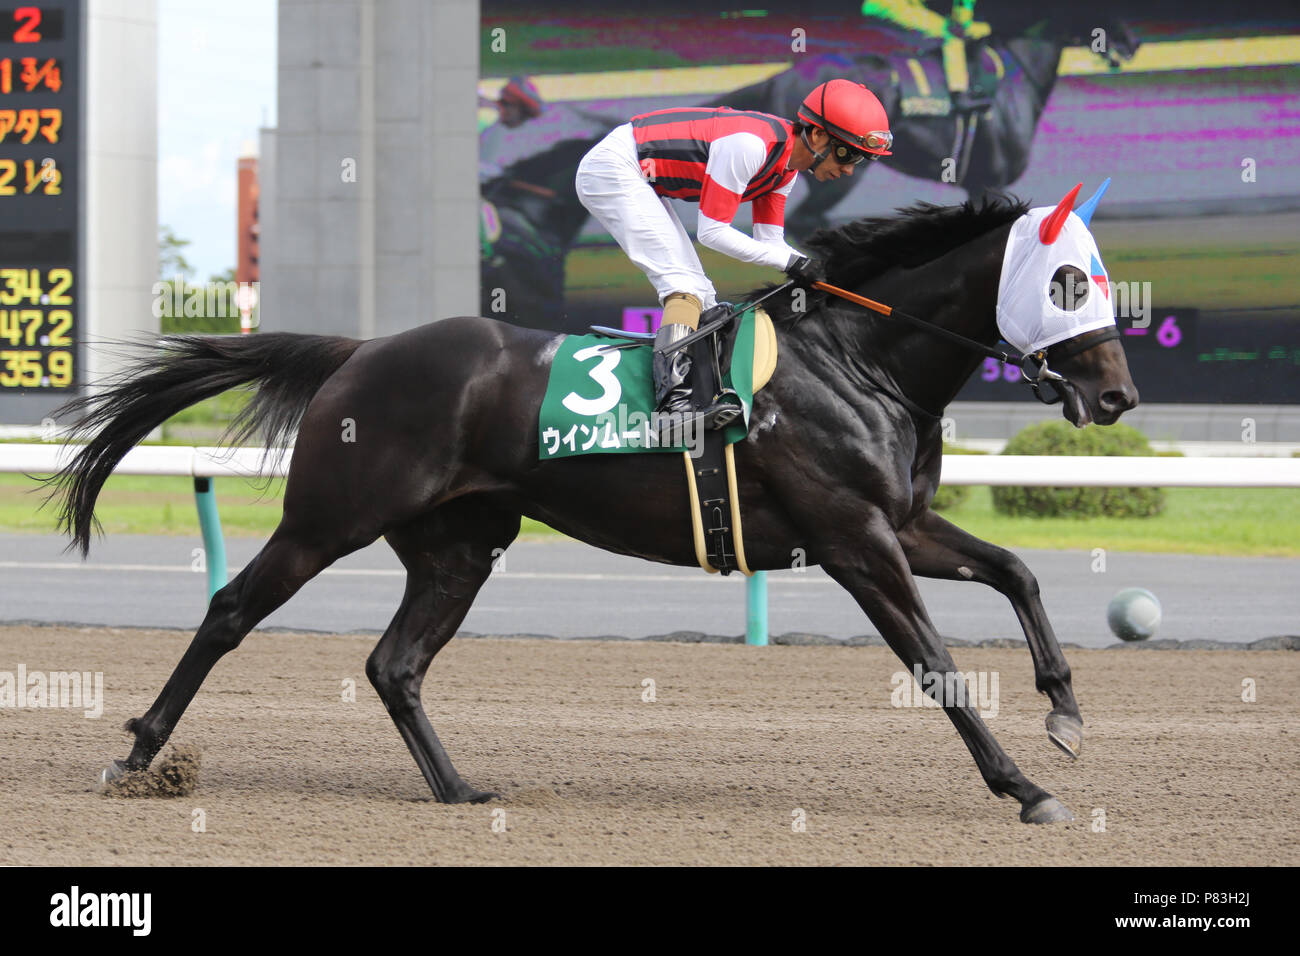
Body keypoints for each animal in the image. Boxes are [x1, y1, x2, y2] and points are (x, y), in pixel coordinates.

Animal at [46, 187, 1138, 824]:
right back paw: (136, 755)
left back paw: (458, 789)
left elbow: (1016, 572)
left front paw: (1066, 713)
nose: (1117, 396)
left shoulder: (898, 522)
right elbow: (937, 664)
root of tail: (360, 351)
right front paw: (1025, 786)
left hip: (458, 544)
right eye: (1068, 281)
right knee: (231, 610)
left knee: (395, 663)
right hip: (329, 518)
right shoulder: (853, 537)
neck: (859, 359)